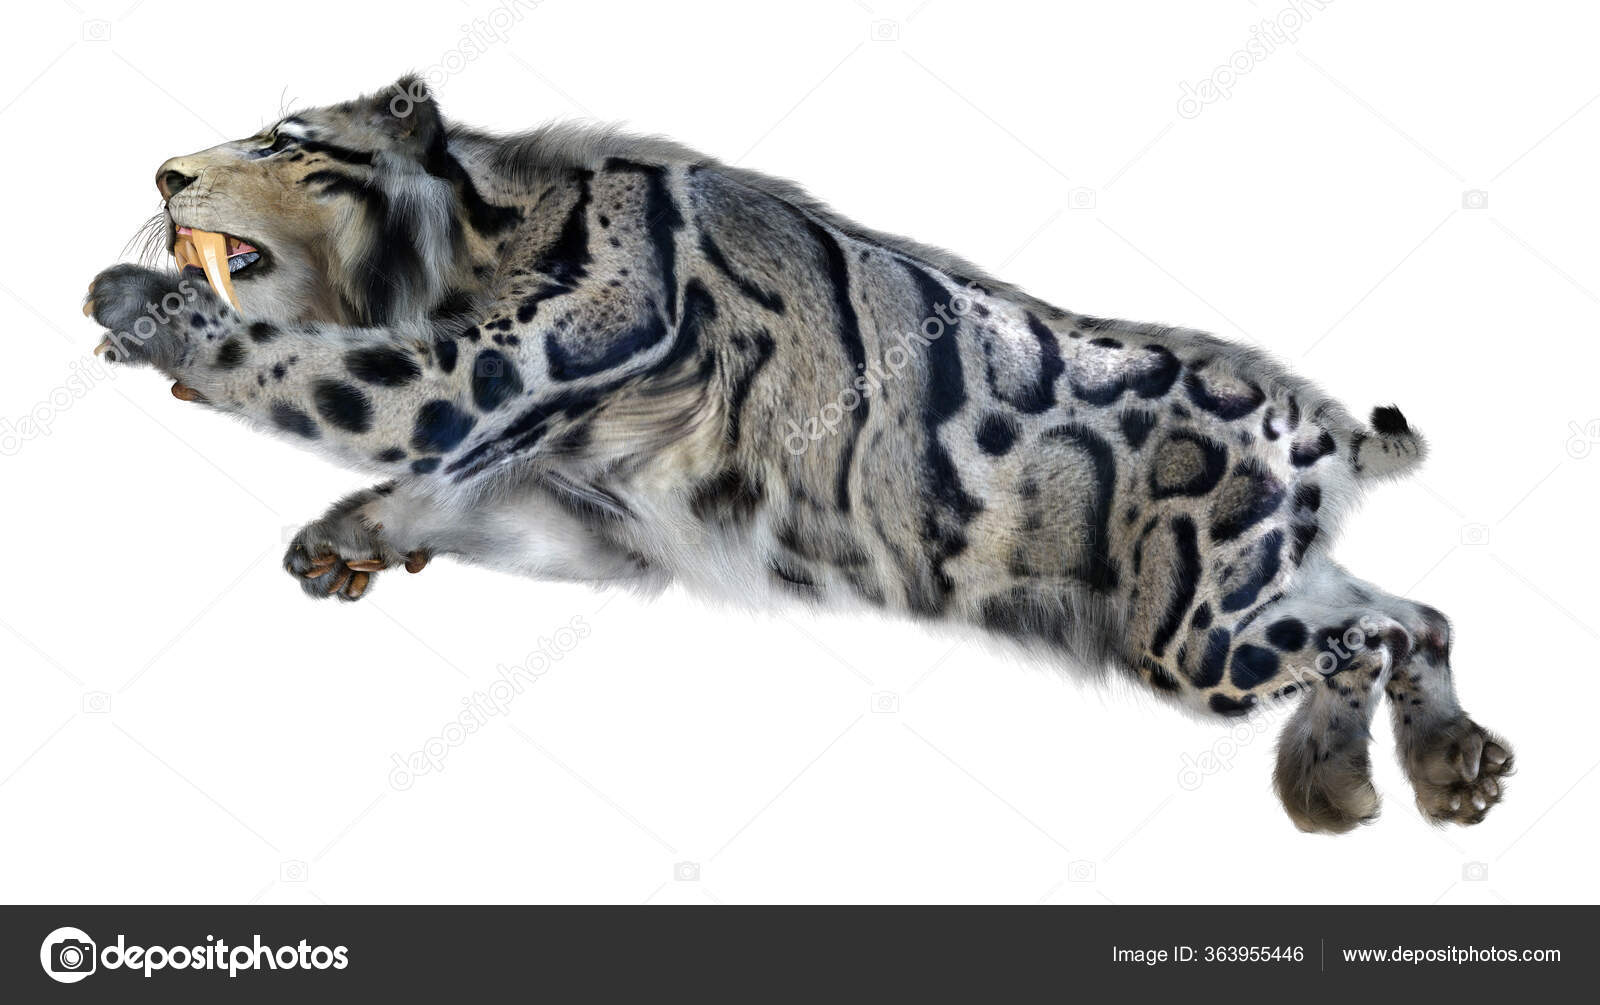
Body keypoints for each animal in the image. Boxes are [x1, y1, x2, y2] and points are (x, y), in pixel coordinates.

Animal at [85, 75, 1511, 833]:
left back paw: (1341, 784)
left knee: (1370, 634)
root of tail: (1319, 424)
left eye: (283, 141)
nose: (159, 174)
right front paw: (354, 536)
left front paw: (152, 308)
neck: (481, 234)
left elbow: (310, 371)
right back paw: (1442, 773)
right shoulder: (595, 517)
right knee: (1416, 613)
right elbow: (449, 491)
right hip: (1257, 590)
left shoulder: (494, 372)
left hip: (1191, 630)